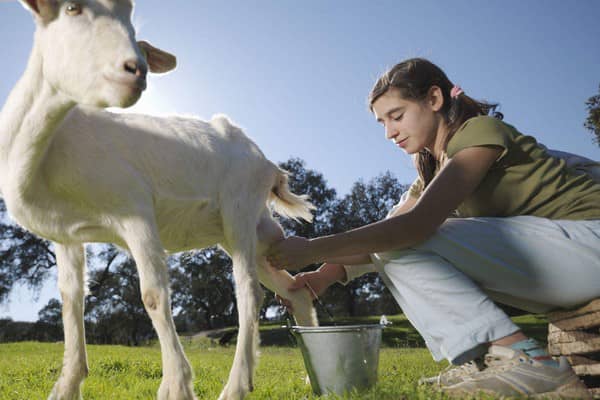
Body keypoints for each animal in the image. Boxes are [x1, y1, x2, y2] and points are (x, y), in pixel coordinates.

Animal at [0, 1, 318, 398]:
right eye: (72, 8)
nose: (134, 69)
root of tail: (267, 164)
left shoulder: (135, 210)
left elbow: (153, 295)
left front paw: (177, 385)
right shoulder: (66, 234)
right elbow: (70, 301)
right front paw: (66, 386)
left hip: (239, 209)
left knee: (249, 293)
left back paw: (236, 385)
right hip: (250, 231)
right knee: (294, 288)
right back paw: (314, 378)